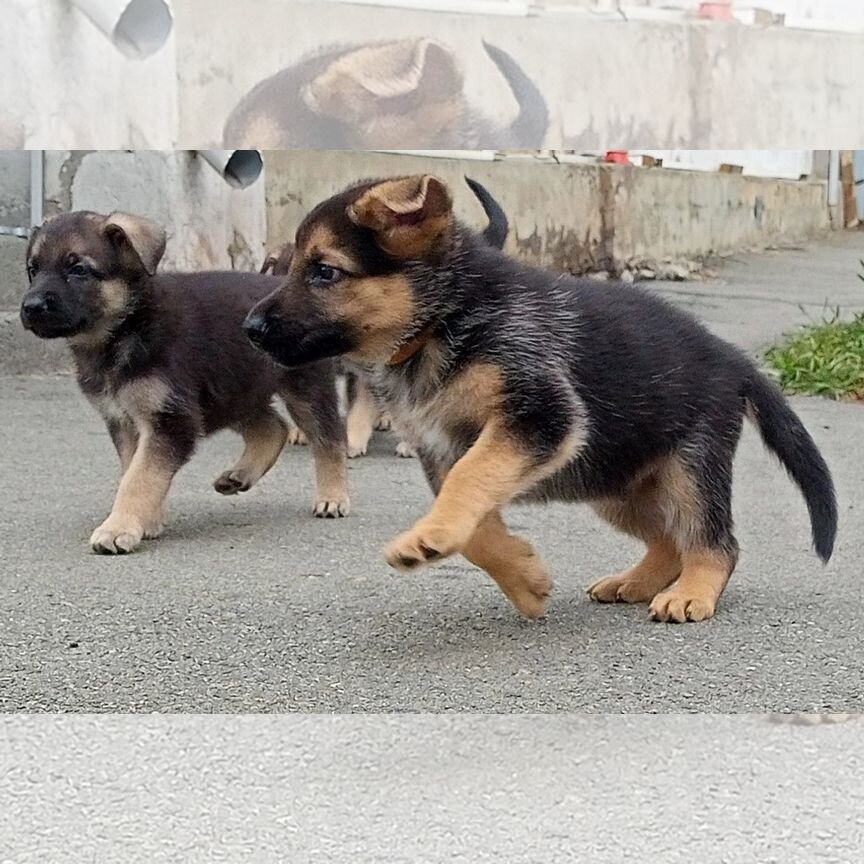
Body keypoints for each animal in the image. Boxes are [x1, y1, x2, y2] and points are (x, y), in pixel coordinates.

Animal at [19, 213, 348, 556]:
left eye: (79, 269)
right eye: (33, 269)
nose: (30, 307)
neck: (128, 326)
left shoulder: (170, 419)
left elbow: (139, 478)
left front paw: (119, 528)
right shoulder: (125, 421)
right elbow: (134, 470)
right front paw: (147, 521)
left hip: (306, 390)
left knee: (329, 439)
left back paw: (333, 497)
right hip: (232, 391)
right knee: (273, 427)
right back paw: (240, 475)